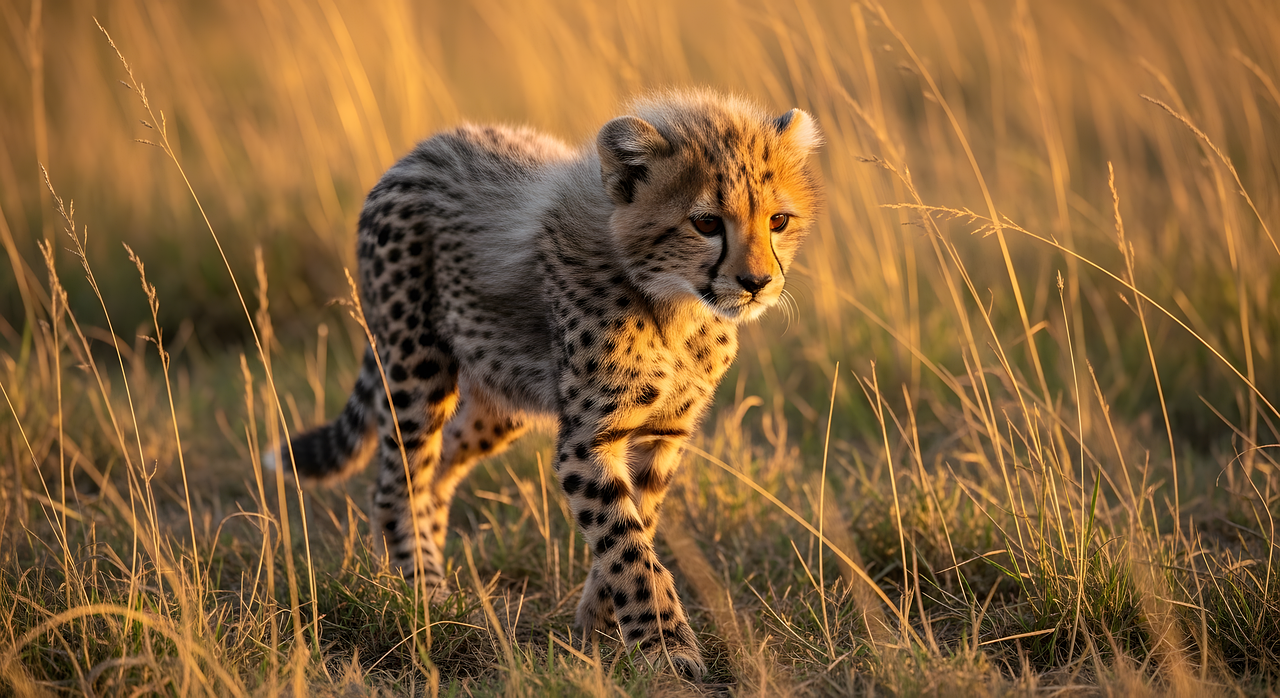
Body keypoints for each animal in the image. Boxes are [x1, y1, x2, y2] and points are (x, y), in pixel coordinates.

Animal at [277, 89, 822, 677]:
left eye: (778, 220)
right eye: (705, 223)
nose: (757, 283)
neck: (675, 305)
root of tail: (422, 150)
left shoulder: (663, 436)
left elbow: (636, 526)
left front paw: (597, 628)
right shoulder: (588, 441)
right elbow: (628, 548)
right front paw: (665, 646)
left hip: (500, 396)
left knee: (439, 472)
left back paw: (438, 591)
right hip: (415, 373)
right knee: (397, 485)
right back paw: (420, 595)